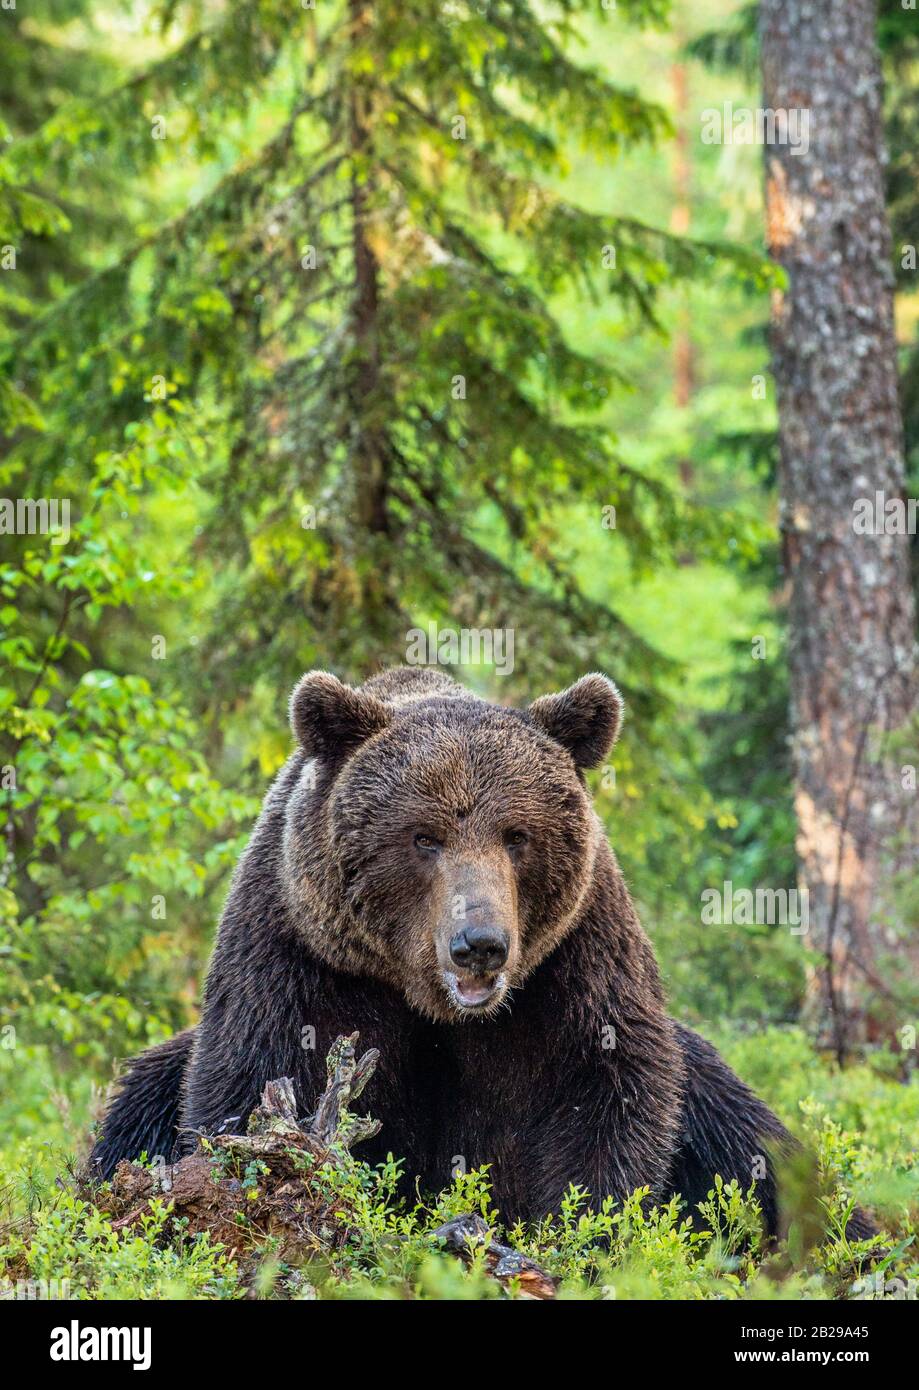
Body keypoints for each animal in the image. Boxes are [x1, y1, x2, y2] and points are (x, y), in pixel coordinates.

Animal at [90, 666, 871, 1239]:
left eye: (517, 835)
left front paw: (578, 1234)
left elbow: (602, 1100)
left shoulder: (571, 963)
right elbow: (255, 1084)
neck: (436, 1008)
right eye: (422, 836)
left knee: (763, 1158)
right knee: (137, 1113)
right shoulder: (300, 953)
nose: (480, 946)